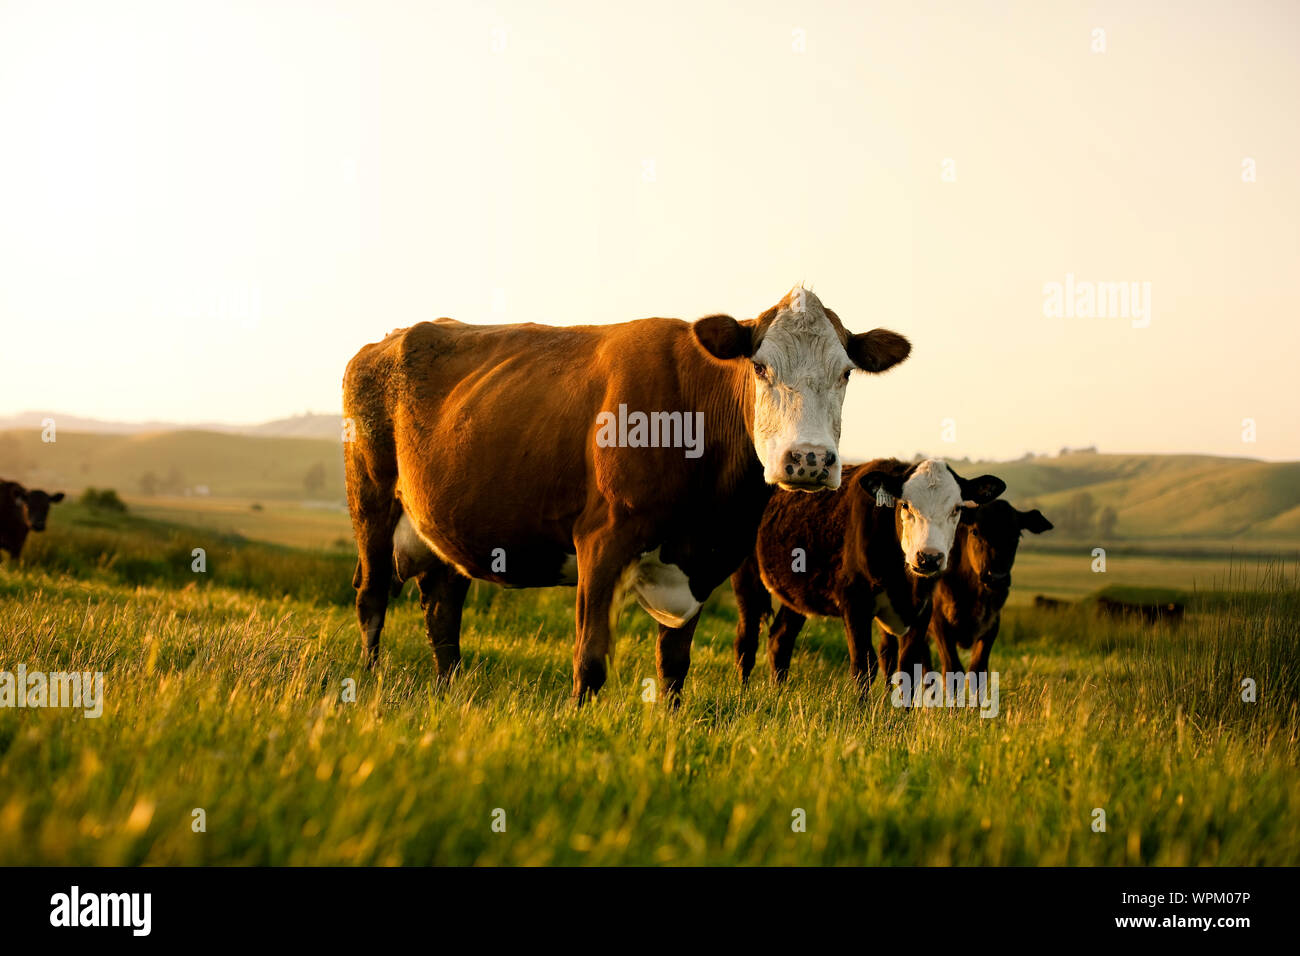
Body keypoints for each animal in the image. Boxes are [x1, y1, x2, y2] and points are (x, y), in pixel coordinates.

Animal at [342, 286, 911, 702]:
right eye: (759, 367)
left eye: (845, 372)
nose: (808, 460)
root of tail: (385, 341)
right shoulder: (602, 541)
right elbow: (590, 660)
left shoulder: (697, 564)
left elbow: (675, 667)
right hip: (370, 501)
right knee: (372, 596)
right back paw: (369, 682)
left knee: (442, 609)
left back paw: (449, 689)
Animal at [731, 458, 1005, 692]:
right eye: (905, 505)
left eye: (956, 509)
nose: (929, 557)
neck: (904, 583)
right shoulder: (854, 601)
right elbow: (864, 666)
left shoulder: (922, 610)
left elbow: (907, 669)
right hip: (746, 577)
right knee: (746, 640)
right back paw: (743, 695)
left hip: (798, 594)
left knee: (780, 639)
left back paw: (778, 694)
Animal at [928, 500, 1053, 678]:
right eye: (975, 532)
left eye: (1016, 535)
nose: (997, 577)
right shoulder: (938, 622)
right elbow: (952, 668)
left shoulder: (992, 623)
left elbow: (978, 669)